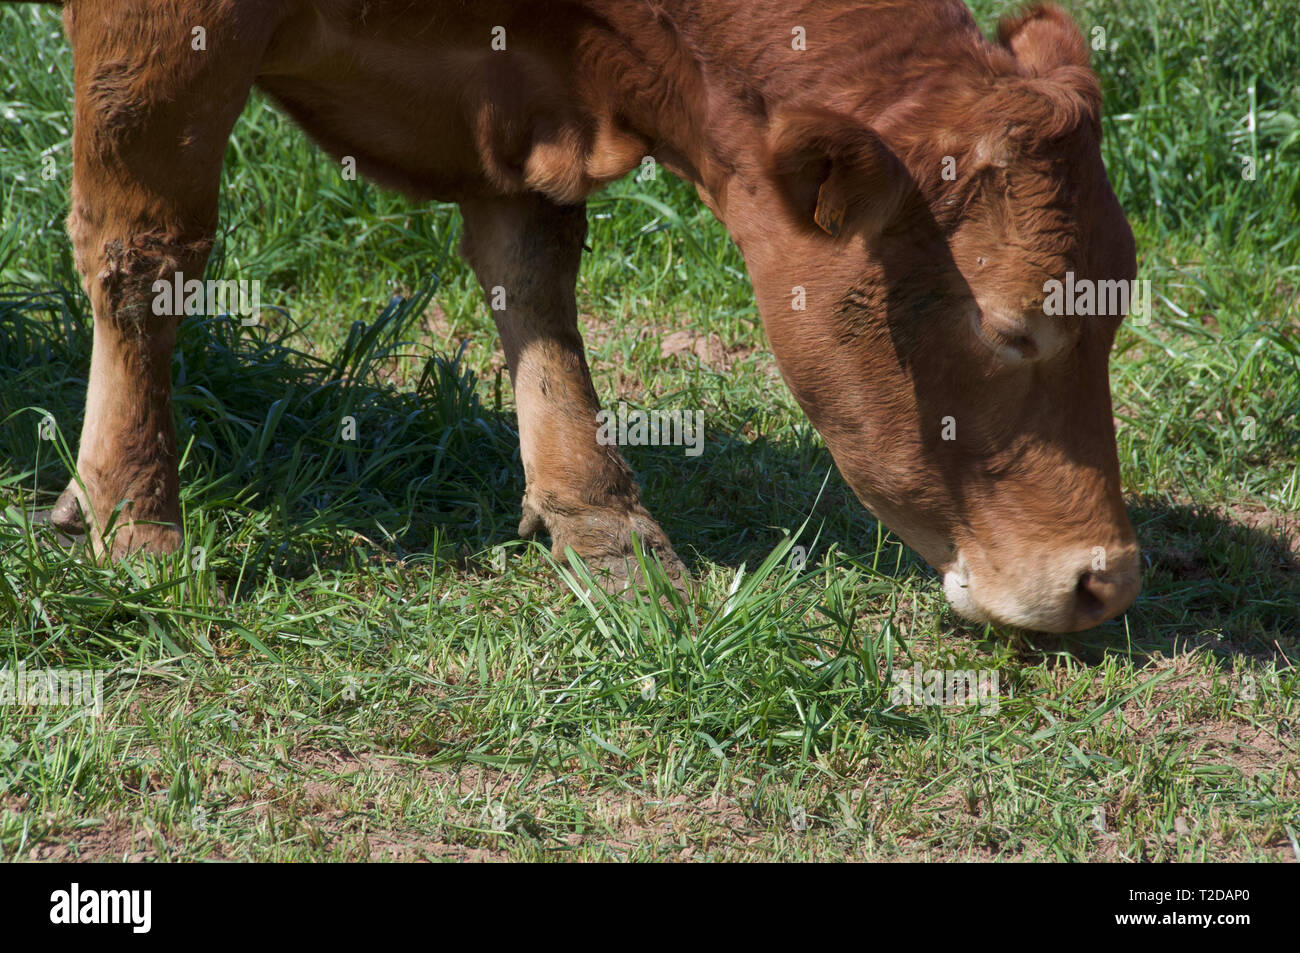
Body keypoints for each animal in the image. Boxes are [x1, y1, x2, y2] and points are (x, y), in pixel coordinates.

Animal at [12, 0, 1142, 633]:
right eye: (1009, 329)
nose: (1107, 578)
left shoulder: (505, 96)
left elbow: (534, 277)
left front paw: (599, 517)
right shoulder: (163, 36)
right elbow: (143, 251)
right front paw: (133, 512)